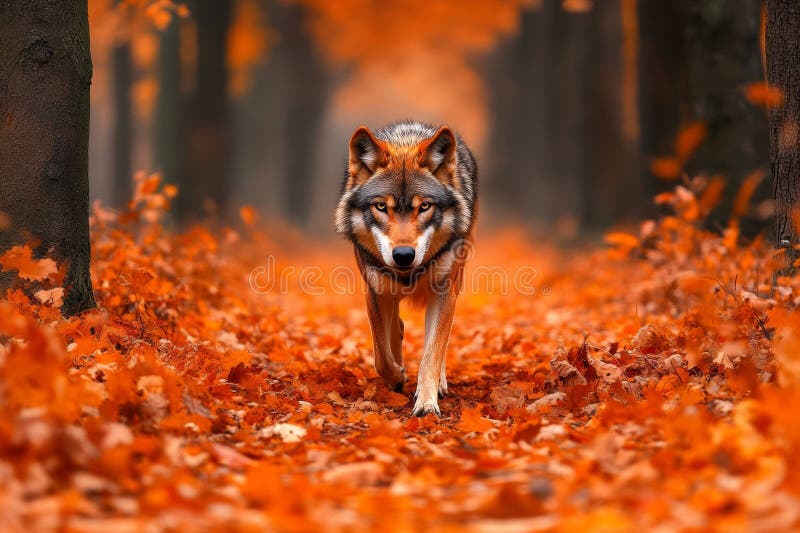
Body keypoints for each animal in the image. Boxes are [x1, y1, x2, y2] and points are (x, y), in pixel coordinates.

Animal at [335, 121, 478, 417]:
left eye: (424, 206)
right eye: (381, 206)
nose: (403, 255)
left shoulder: (445, 292)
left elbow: (432, 353)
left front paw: (426, 402)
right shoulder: (375, 290)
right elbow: (381, 355)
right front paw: (397, 377)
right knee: (396, 328)